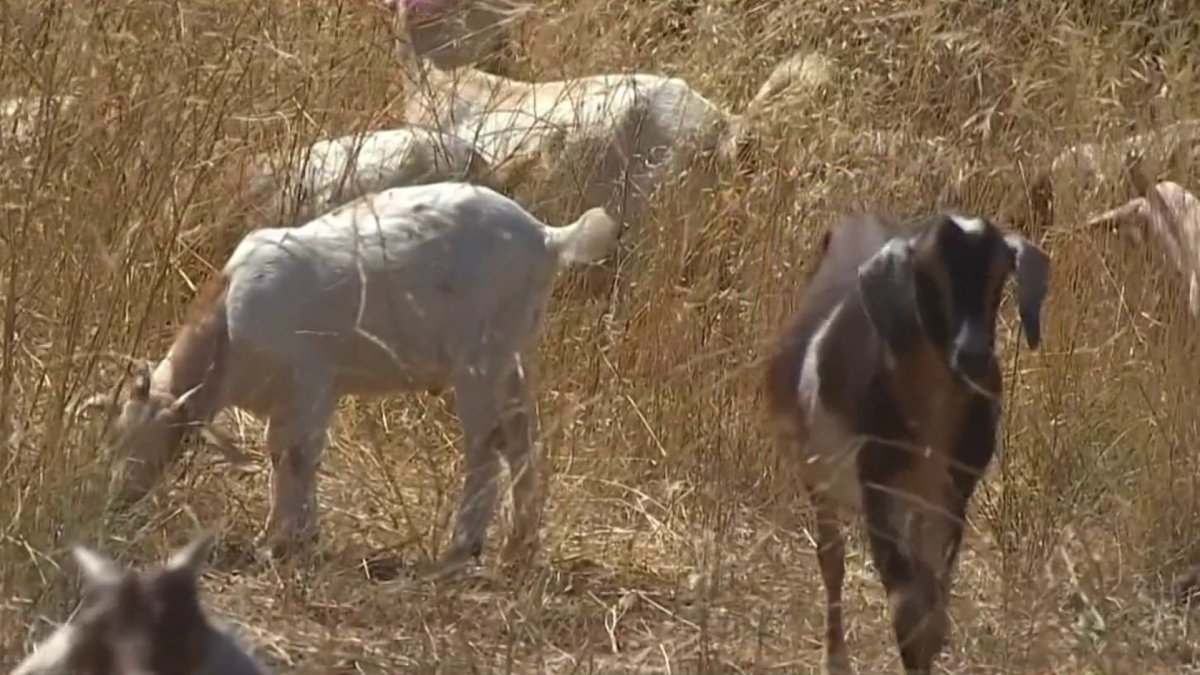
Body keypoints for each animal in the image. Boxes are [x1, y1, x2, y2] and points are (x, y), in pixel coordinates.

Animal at [87, 182, 620, 570]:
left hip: (480, 358)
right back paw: (517, 546)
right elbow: (292, 457)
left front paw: (281, 541)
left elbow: (292, 454)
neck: (228, 332)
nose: (117, 499)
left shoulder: (311, 381)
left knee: (485, 443)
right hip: (515, 354)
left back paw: (460, 549)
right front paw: (294, 536)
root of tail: (547, 237)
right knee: (522, 437)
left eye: (149, 439)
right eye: (111, 436)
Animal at [764, 211, 1050, 674]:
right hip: (820, 475)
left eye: (999, 276)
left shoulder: (954, 491)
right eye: (927, 274)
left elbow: (931, 604)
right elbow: (906, 607)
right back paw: (836, 659)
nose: (973, 356)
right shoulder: (875, 486)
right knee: (832, 560)